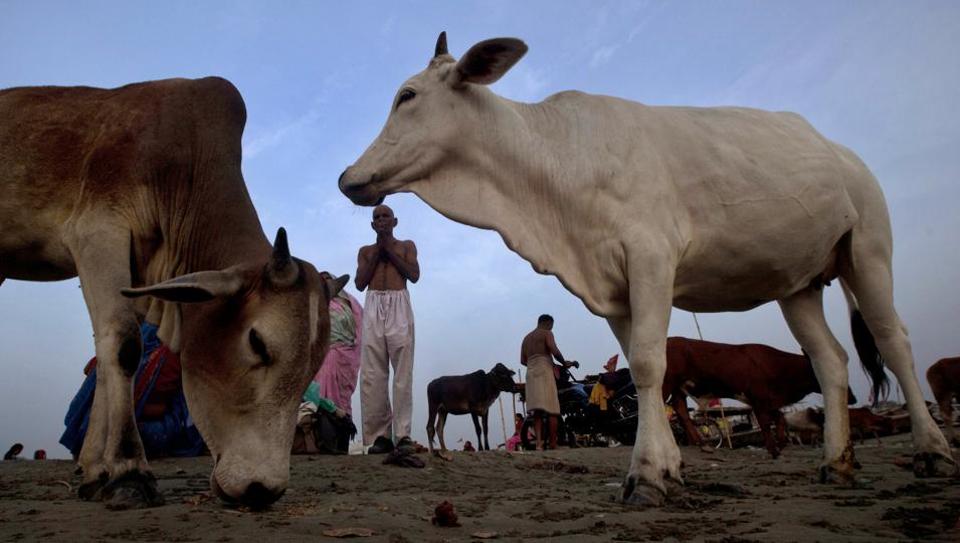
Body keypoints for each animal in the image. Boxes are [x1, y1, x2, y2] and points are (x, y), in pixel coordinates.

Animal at [0, 77, 347, 509]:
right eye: (257, 342)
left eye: (313, 368)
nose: (261, 489)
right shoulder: (96, 233)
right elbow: (123, 346)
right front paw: (129, 471)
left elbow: (104, 358)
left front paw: (97, 471)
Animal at [663, 337, 857, 459]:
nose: (853, 398)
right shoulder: (758, 398)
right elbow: (764, 423)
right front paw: (773, 450)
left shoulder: (768, 400)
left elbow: (780, 418)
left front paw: (781, 443)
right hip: (666, 382)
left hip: (679, 387)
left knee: (680, 409)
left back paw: (702, 443)